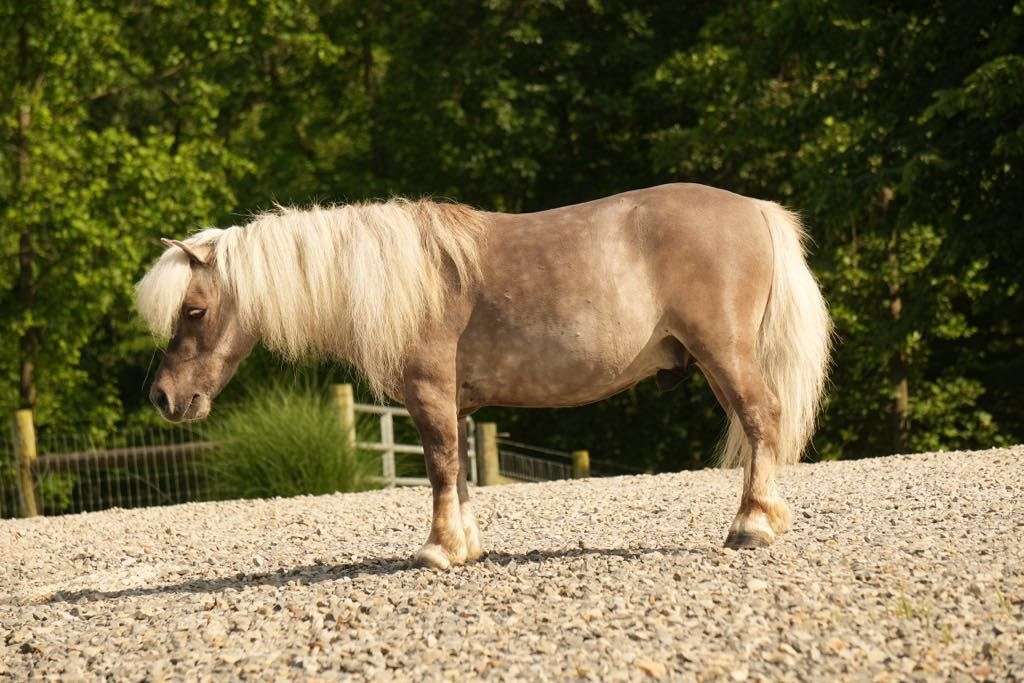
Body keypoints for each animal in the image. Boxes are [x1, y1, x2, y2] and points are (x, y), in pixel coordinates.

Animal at [136, 183, 832, 568]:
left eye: (194, 310)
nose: (164, 397)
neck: (407, 280)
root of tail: (755, 210)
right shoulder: (457, 404)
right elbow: (461, 472)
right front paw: (466, 545)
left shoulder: (430, 396)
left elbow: (441, 466)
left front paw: (438, 549)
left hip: (726, 356)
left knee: (762, 419)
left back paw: (752, 524)